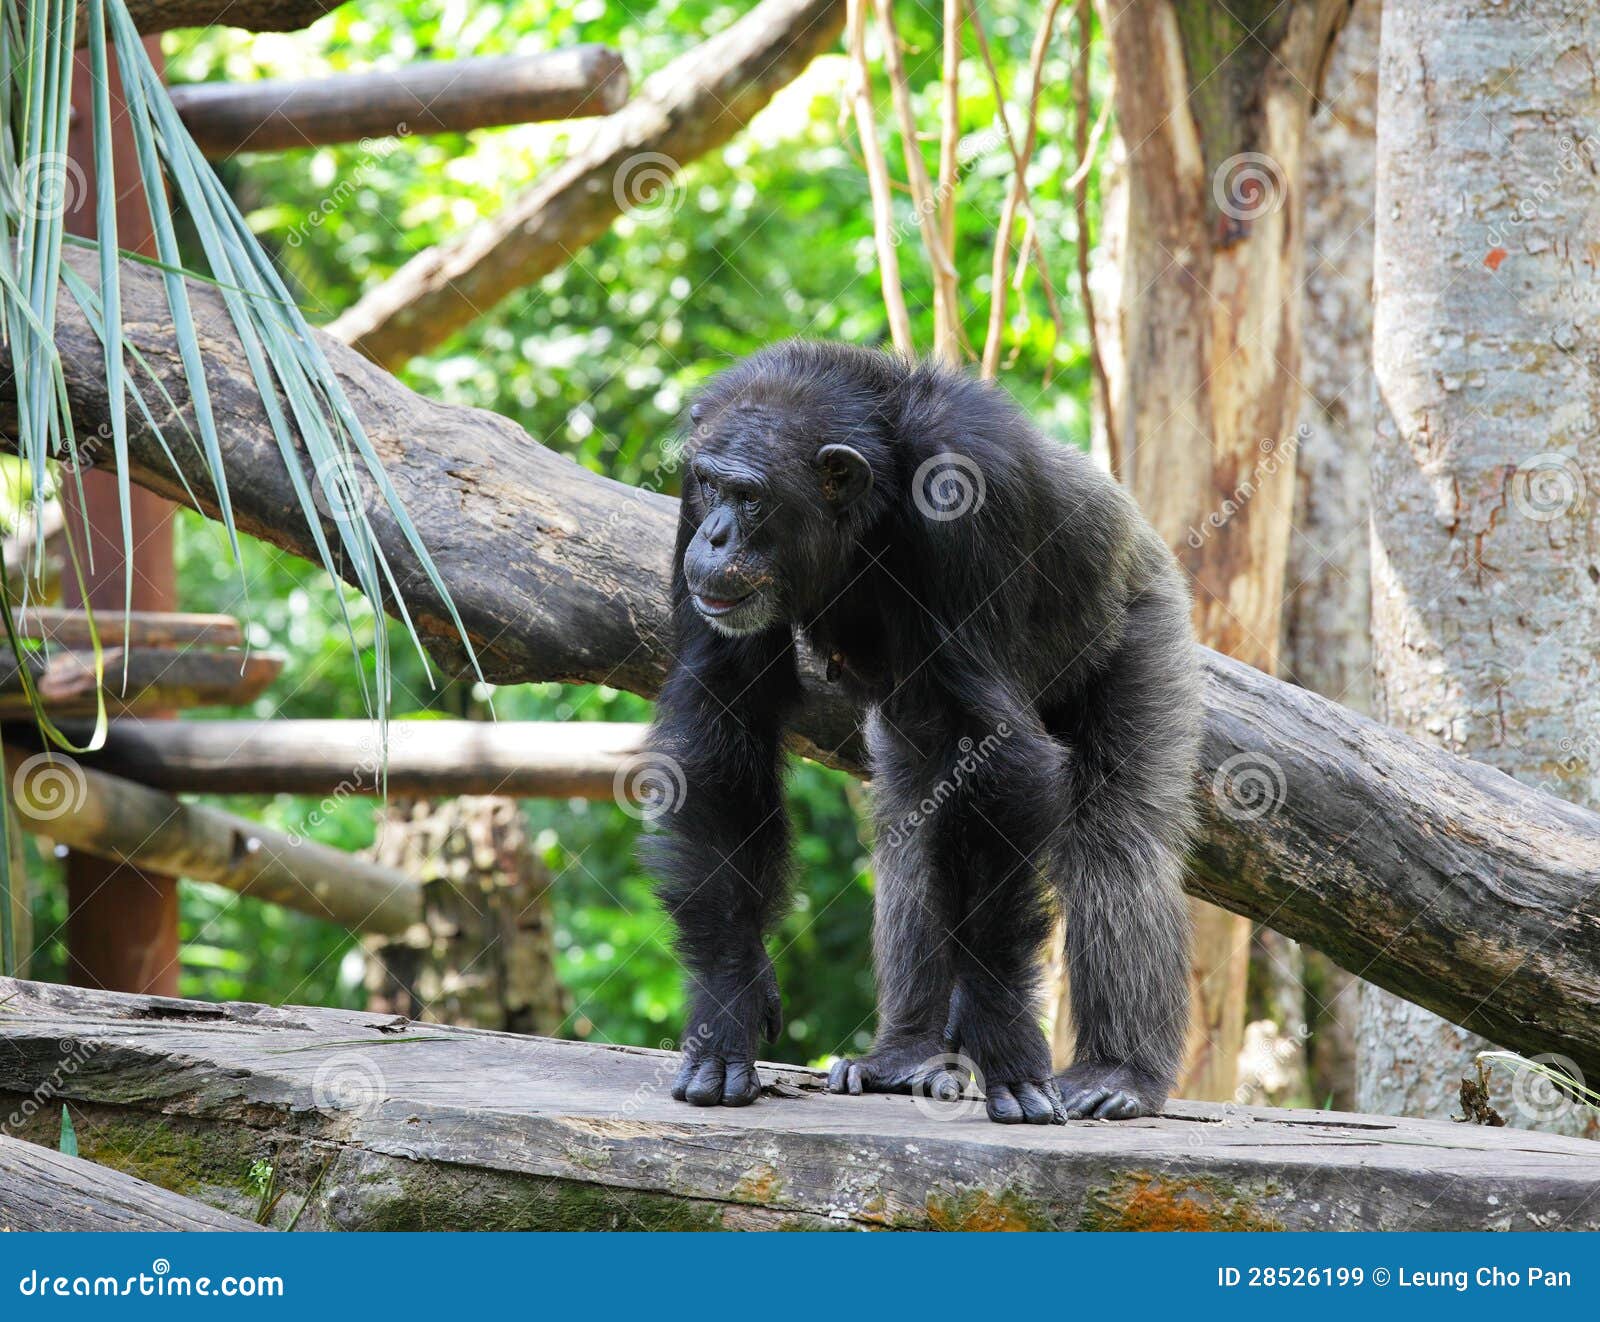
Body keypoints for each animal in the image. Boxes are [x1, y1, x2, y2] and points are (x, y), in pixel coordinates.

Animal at [643, 340, 1197, 1124]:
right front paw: (730, 1004)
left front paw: (1002, 1035)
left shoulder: (974, 493)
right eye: (709, 485)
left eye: (749, 497)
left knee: (1119, 838)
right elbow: (723, 716)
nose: (715, 535)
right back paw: (906, 1053)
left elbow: (998, 754)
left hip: (1146, 623)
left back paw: (1118, 1072)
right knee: (911, 821)